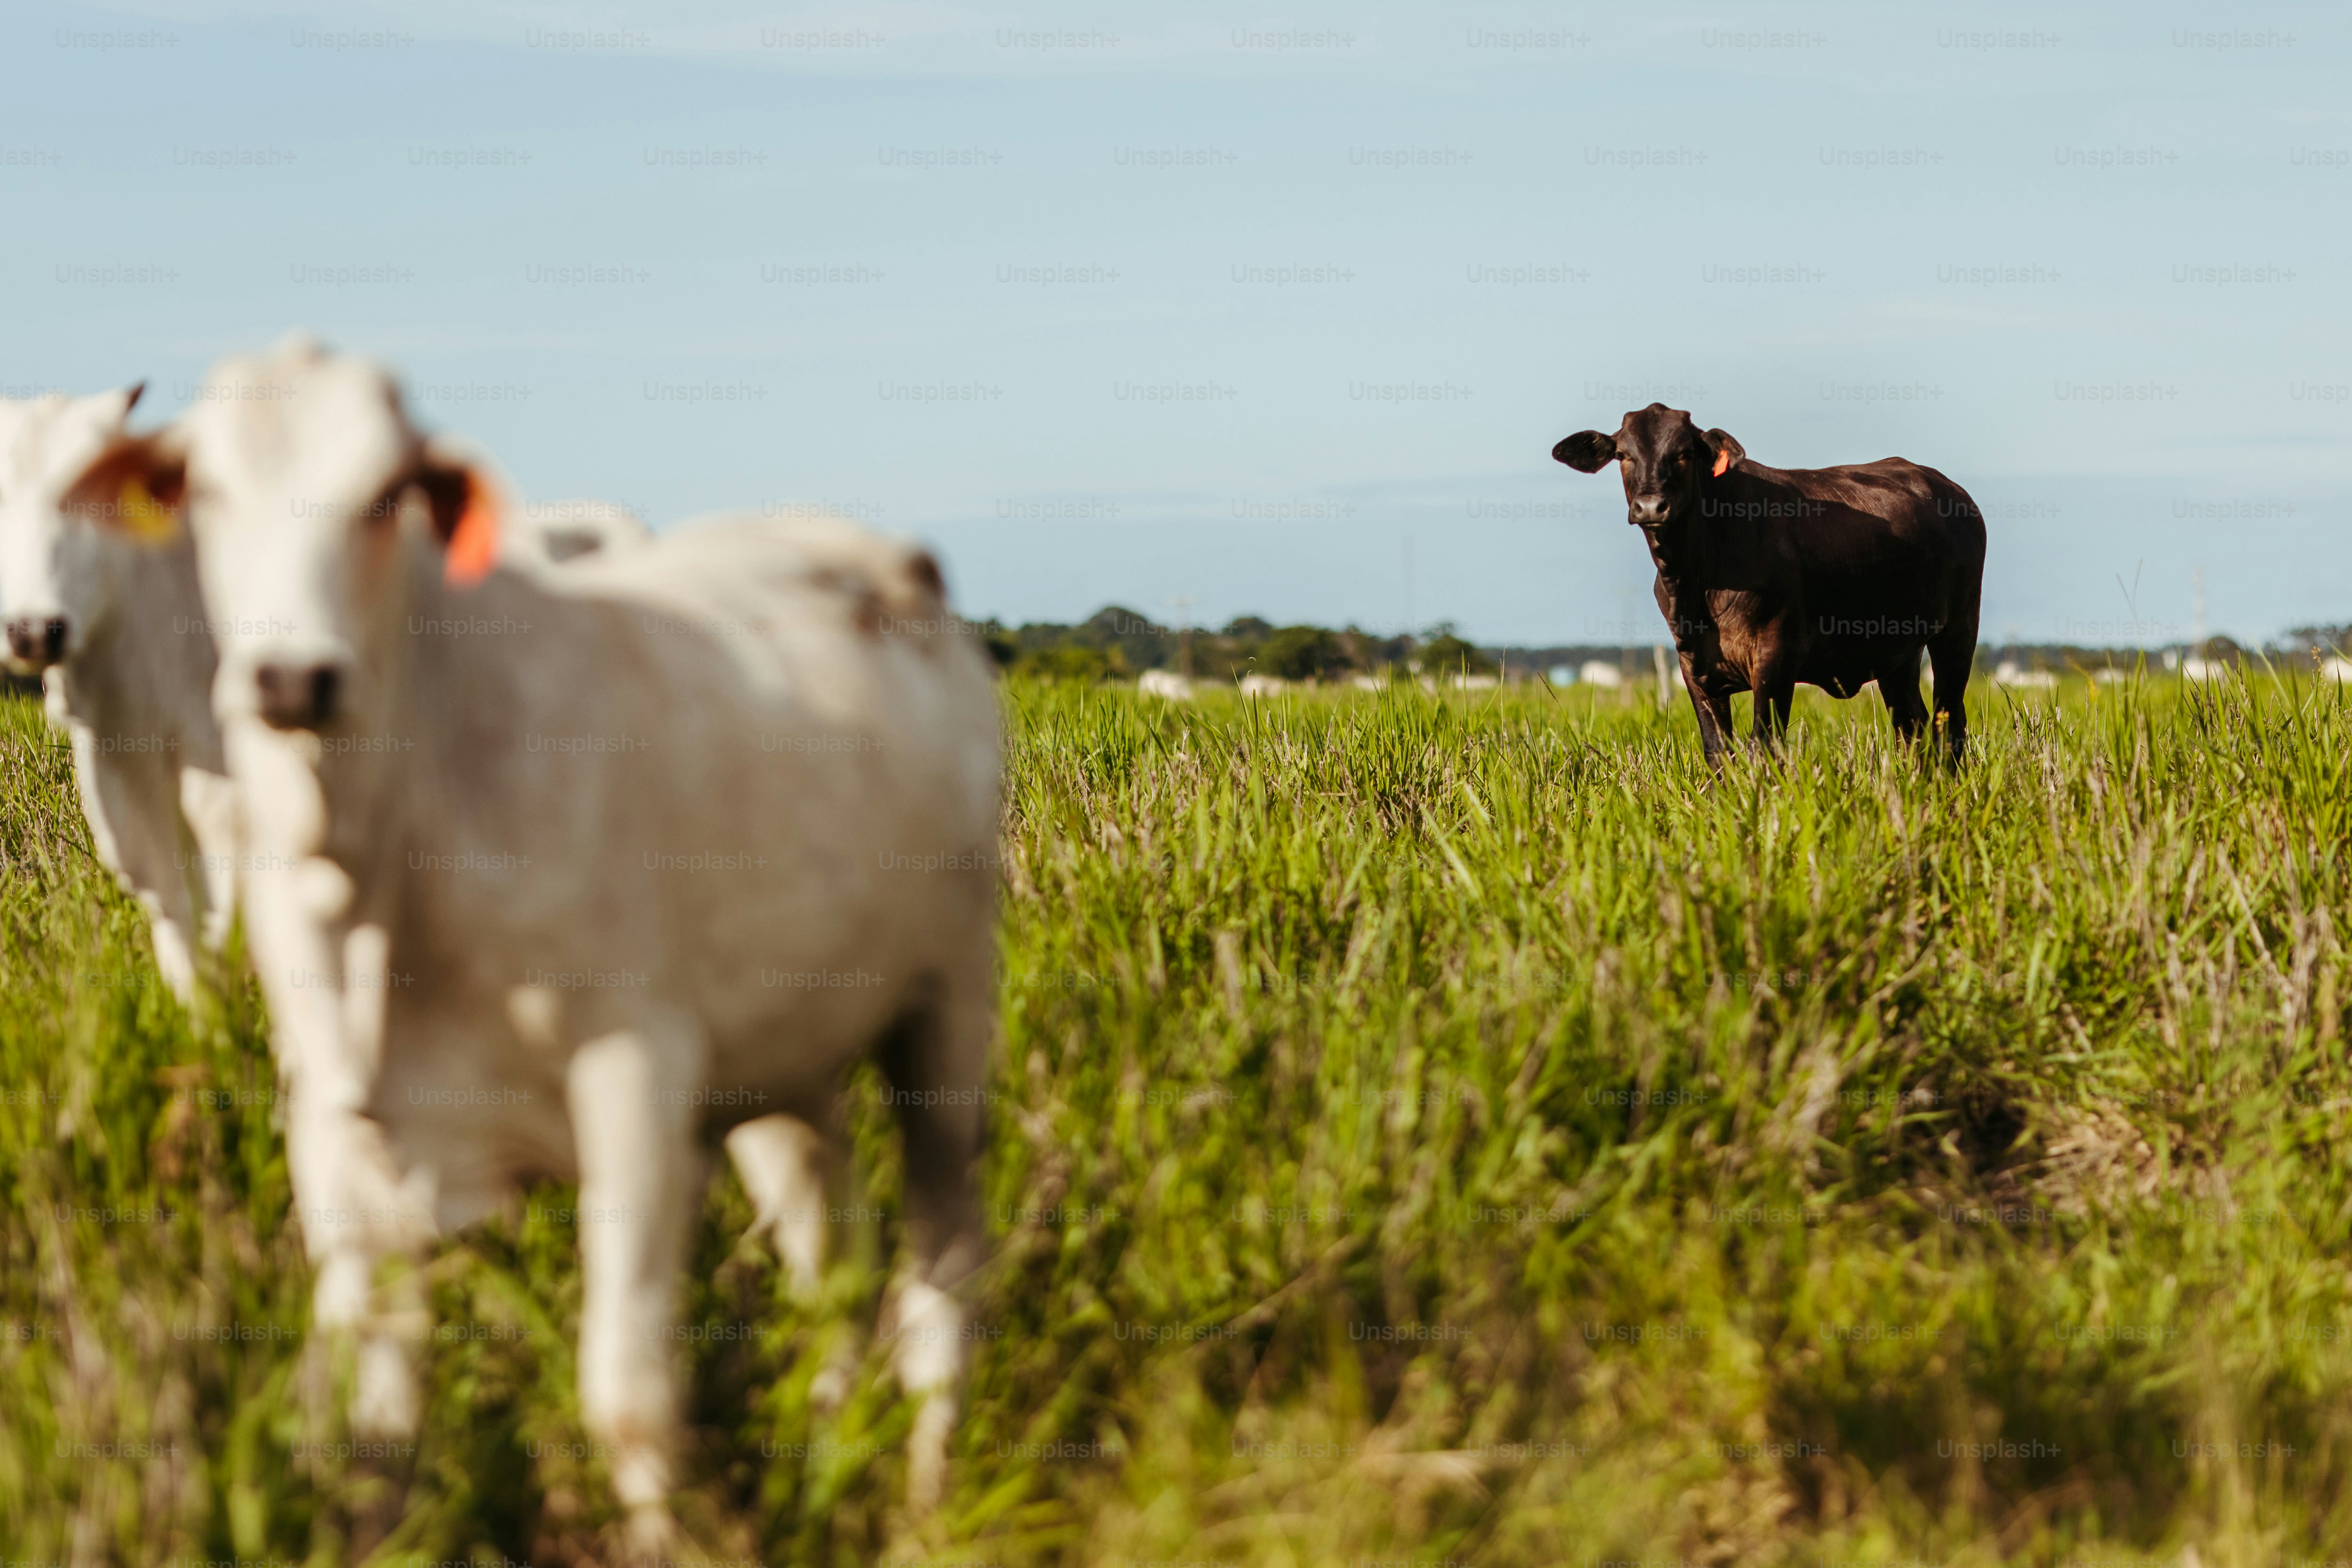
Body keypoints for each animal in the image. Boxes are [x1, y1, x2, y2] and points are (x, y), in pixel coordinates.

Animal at [65, 339, 1002, 1538]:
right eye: (208, 491)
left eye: (389, 493)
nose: (291, 679)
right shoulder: (336, 1129)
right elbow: (374, 1440)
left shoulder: (637, 1082)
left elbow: (631, 1396)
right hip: (787, 1055)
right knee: (831, 1248)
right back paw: (834, 1435)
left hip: (949, 1008)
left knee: (943, 1261)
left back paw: (931, 1488)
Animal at [1552, 403, 1985, 763]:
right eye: (1623, 455)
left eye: (1684, 453)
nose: (1650, 506)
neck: (1696, 583)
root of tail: (1948, 487)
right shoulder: (1692, 662)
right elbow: (1717, 751)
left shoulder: (1777, 653)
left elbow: (1763, 744)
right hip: (1896, 653)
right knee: (1914, 728)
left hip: (1957, 633)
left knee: (1950, 724)